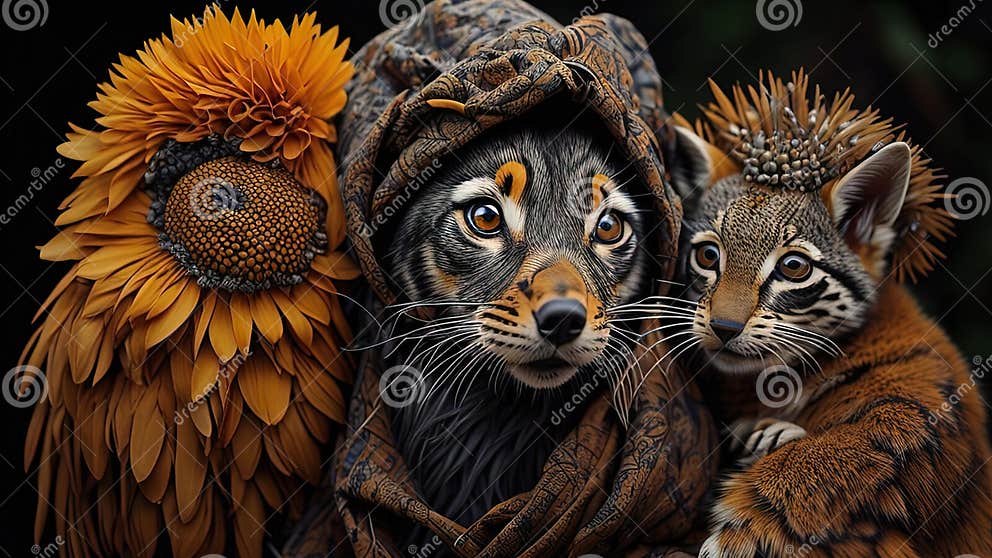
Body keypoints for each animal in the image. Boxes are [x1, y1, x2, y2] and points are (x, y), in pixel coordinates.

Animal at [662, 73, 992, 556]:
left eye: (793, 267)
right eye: (707, 256)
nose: (723, 327)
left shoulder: (923, 403)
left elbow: (866, 445)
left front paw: (745, 527)